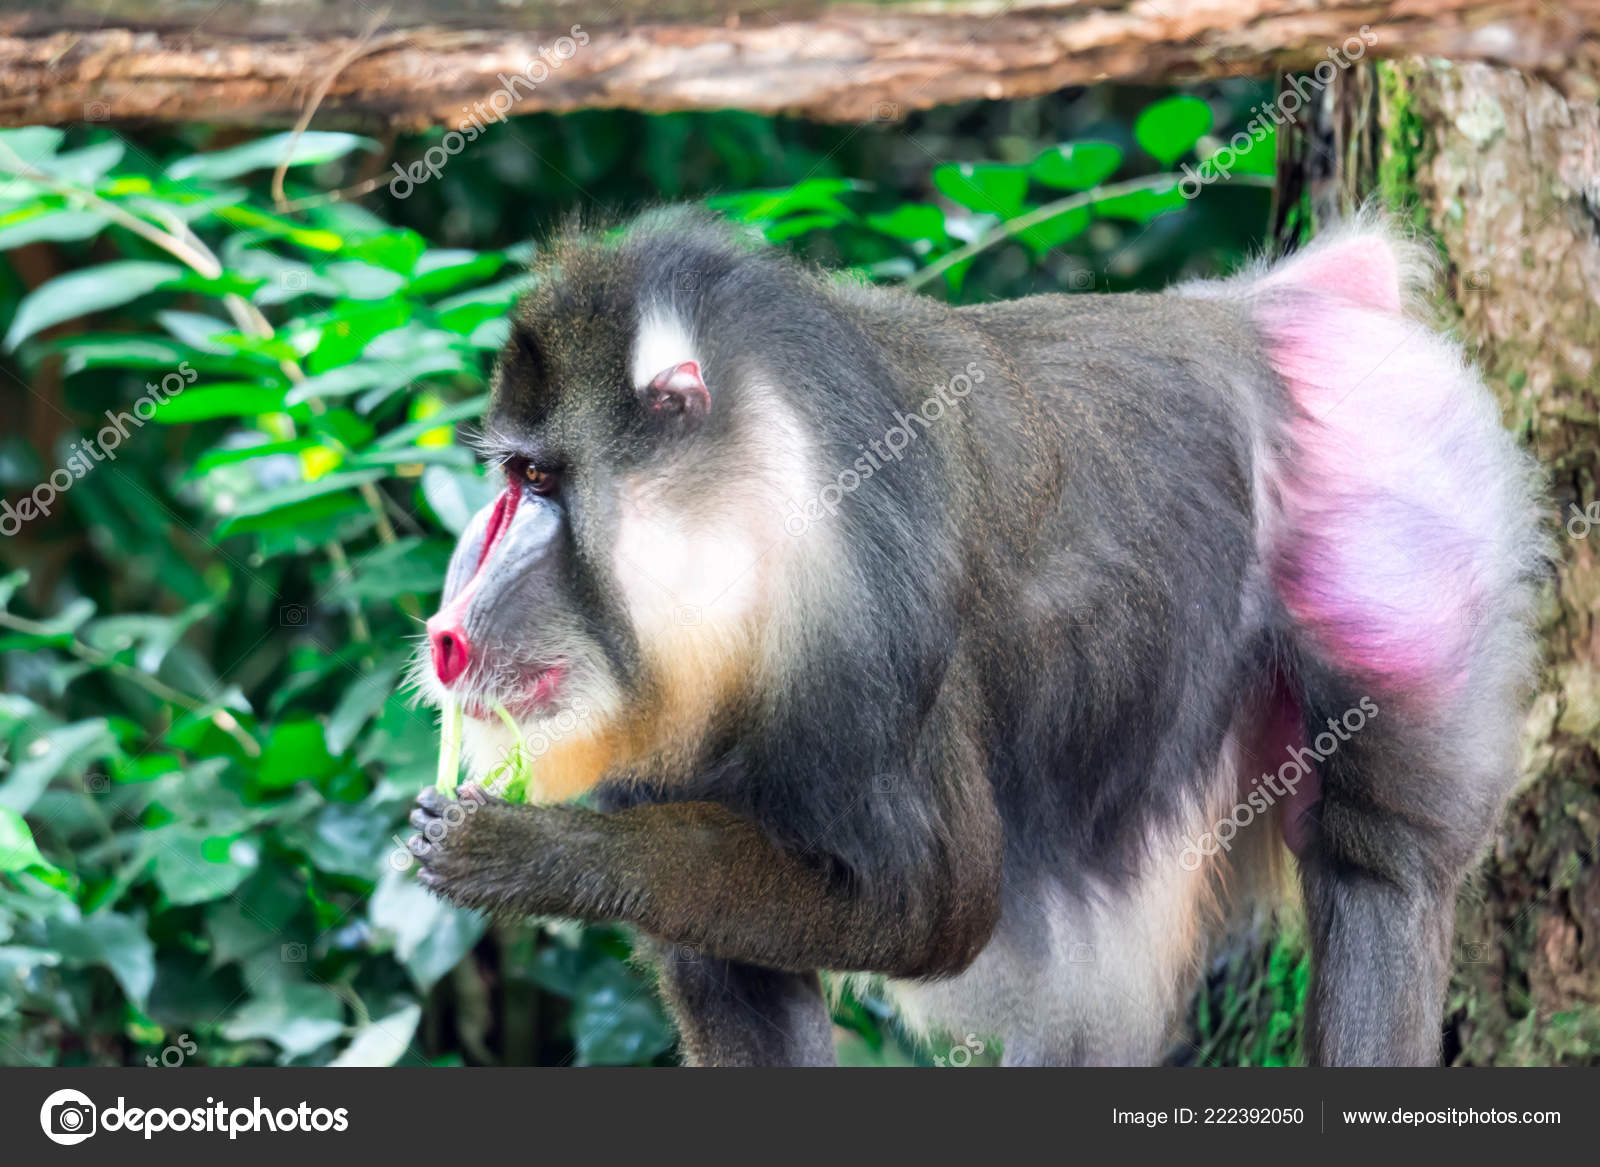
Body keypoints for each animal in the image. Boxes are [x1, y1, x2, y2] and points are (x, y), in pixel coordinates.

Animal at [406, 206, 1547, 1067]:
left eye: (539, 478)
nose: (448, 636)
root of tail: (1265, 314)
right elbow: (738, 979)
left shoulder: (879, 646)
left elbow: (935, 908)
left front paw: (525, 851)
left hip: (1391, 547)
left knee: (1379, 863)